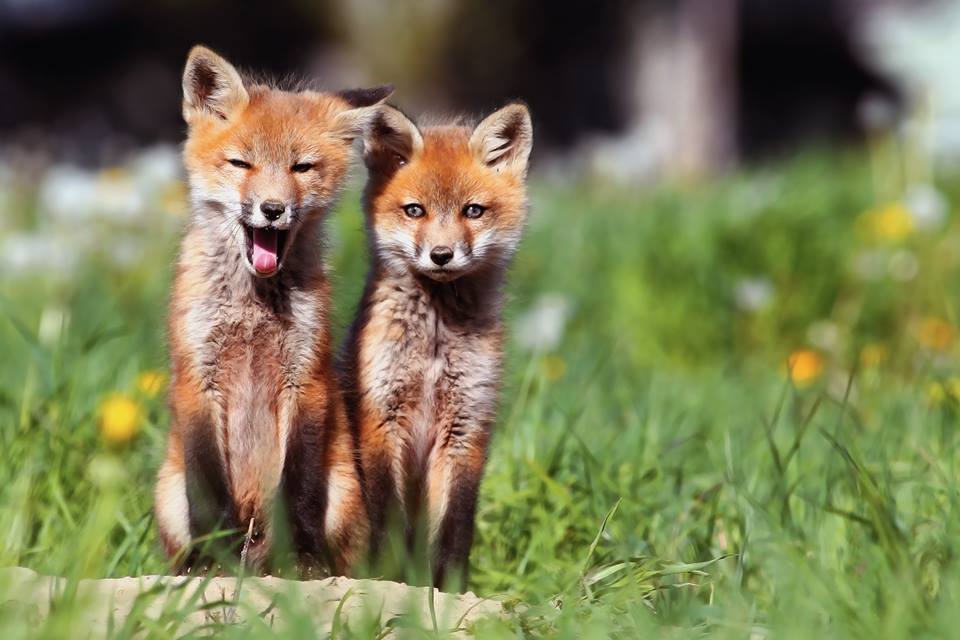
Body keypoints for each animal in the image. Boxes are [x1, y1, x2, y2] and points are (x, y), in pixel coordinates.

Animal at [153, 45, 391, 575]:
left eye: (302, 167)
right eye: (241, 163)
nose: (272, 209)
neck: (251, 307)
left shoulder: (305, 378)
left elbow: (298, 488)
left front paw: (299, 557)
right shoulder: (197, 379)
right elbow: (209, 491)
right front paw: (211, 558)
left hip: (342, 493)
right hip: (168, 494)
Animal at [339, 103, 533, 589]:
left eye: (473, 210)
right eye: (415, 210)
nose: (441, 255)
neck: (434, 344)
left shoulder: (466, 426)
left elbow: (455, 529)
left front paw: (448, 591)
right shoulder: (381, 418)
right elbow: (390, 522)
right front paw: (390, 580)